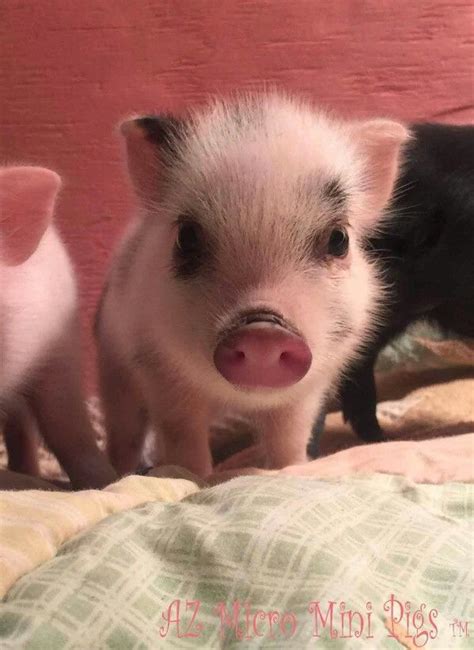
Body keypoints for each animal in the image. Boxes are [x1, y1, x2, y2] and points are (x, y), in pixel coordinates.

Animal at [95, 94, 409, 478]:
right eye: (187, 237)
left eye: (339, 239)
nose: (263, 331)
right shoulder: (158, 369)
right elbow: (183, 435)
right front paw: (197, 477)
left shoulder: (311, 387)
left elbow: (289, 435)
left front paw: (291, 469)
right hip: (113, 371)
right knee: (124, 434)